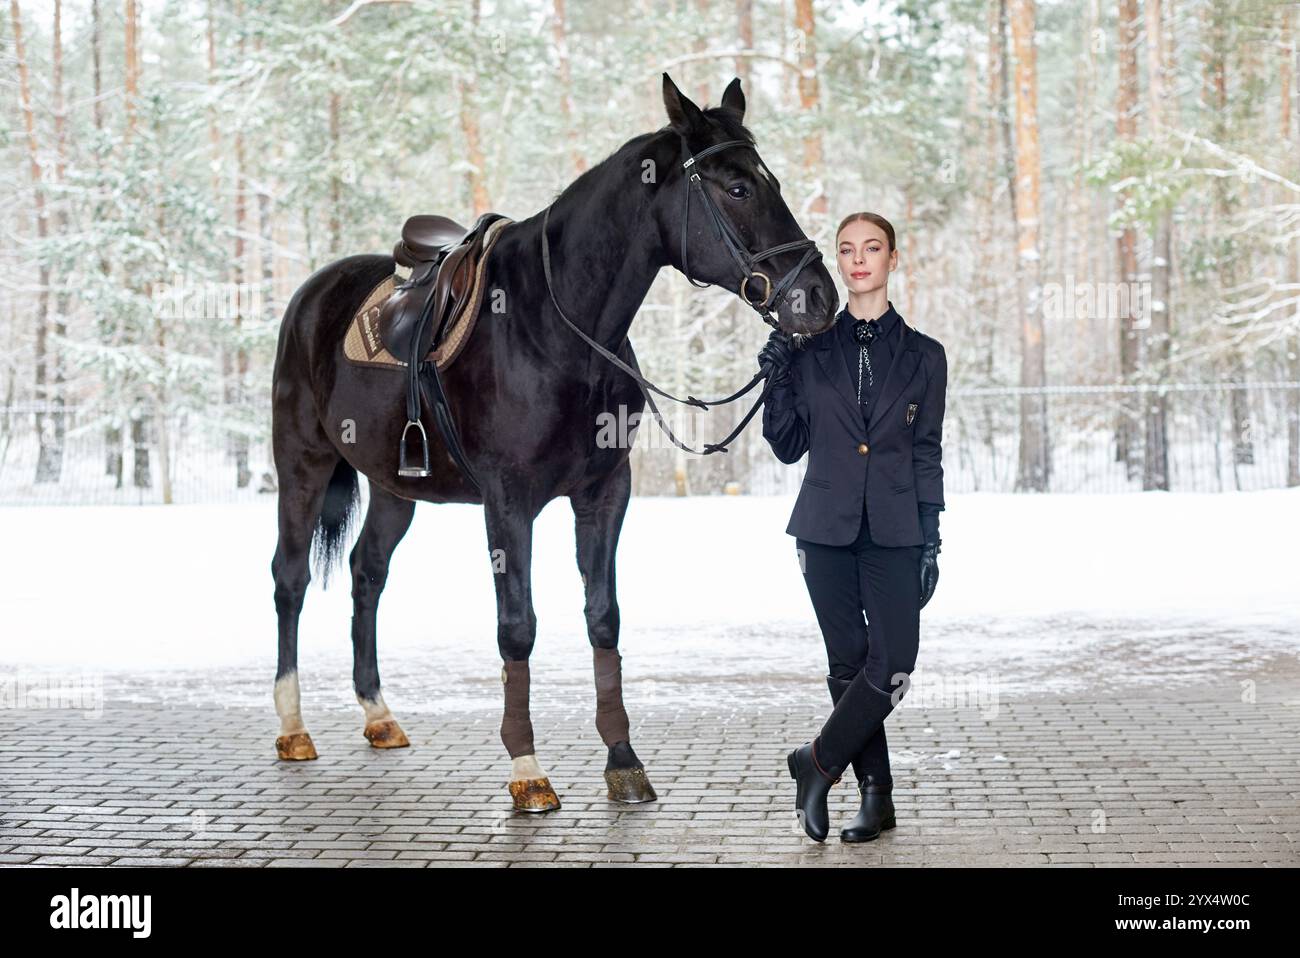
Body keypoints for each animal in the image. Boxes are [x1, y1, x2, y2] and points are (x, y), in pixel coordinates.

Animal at [269, 73, 838, 812]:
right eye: (737, 187)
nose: (818, 297)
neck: (554, 326)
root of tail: (313, 294)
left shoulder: (603, 493)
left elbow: (604, 616)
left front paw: (623, 759)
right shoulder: (509, 502)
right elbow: (518, 625)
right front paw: (527, 767)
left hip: (395, 486)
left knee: (368, 574)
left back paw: (379, 714)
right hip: (302, 464)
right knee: (290, 578)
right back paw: (292, 727)